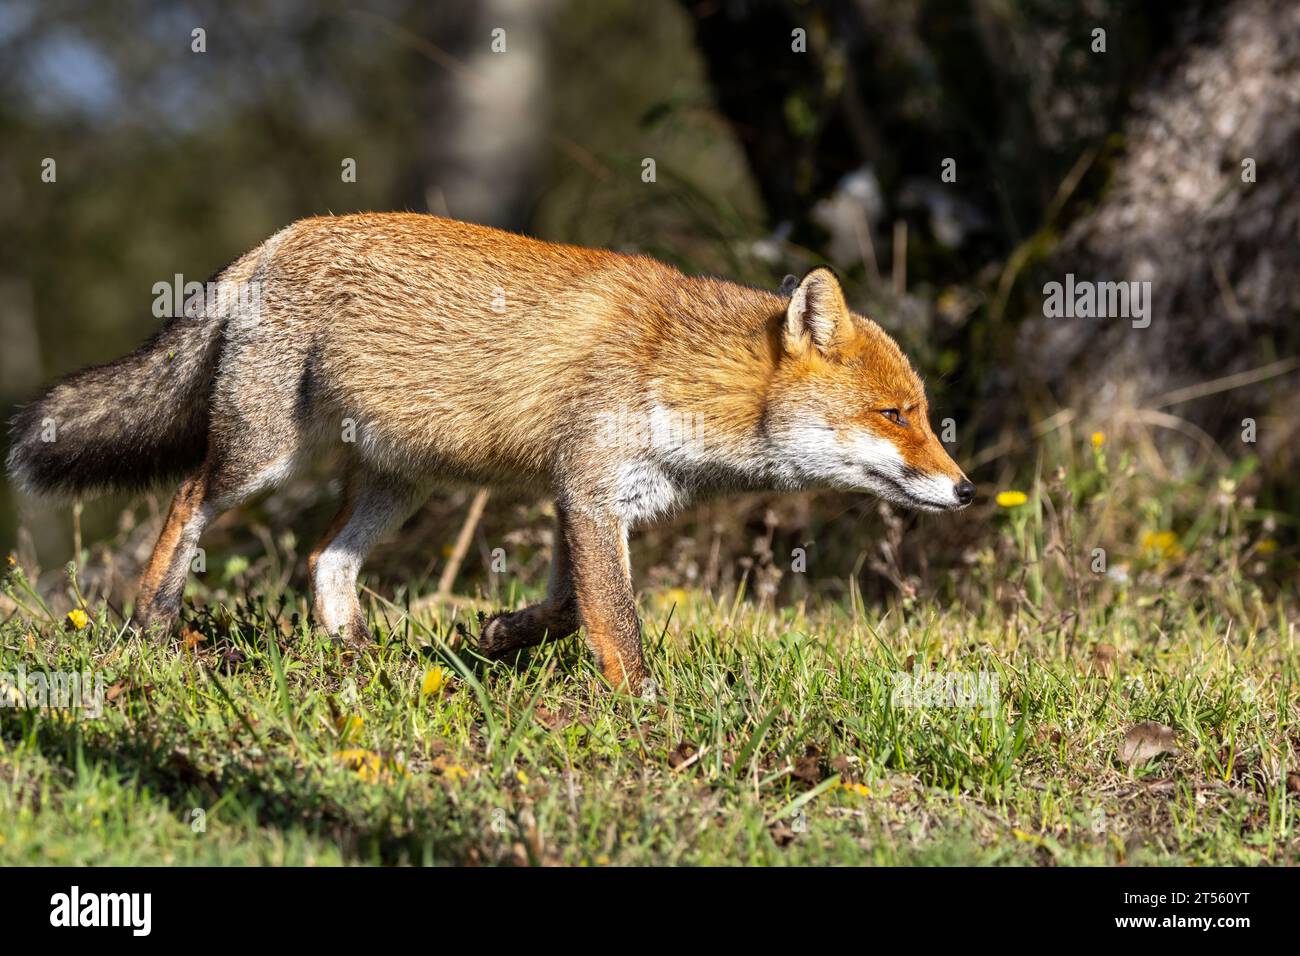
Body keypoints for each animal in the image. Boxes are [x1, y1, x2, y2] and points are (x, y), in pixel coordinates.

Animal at [7, 213, 974, 691]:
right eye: (895, 413)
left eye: (926, 415)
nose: (966, 490)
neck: (678, 369)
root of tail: (278, 236)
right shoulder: (587, 490)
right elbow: (615, 623)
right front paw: (644, 713)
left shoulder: (592, 501)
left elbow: (566, 610)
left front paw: (498, 637)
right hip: (263, 455)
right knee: (185, 501)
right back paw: (153, 620)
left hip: (401, 484)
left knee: (324, 559)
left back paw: (354, 658)